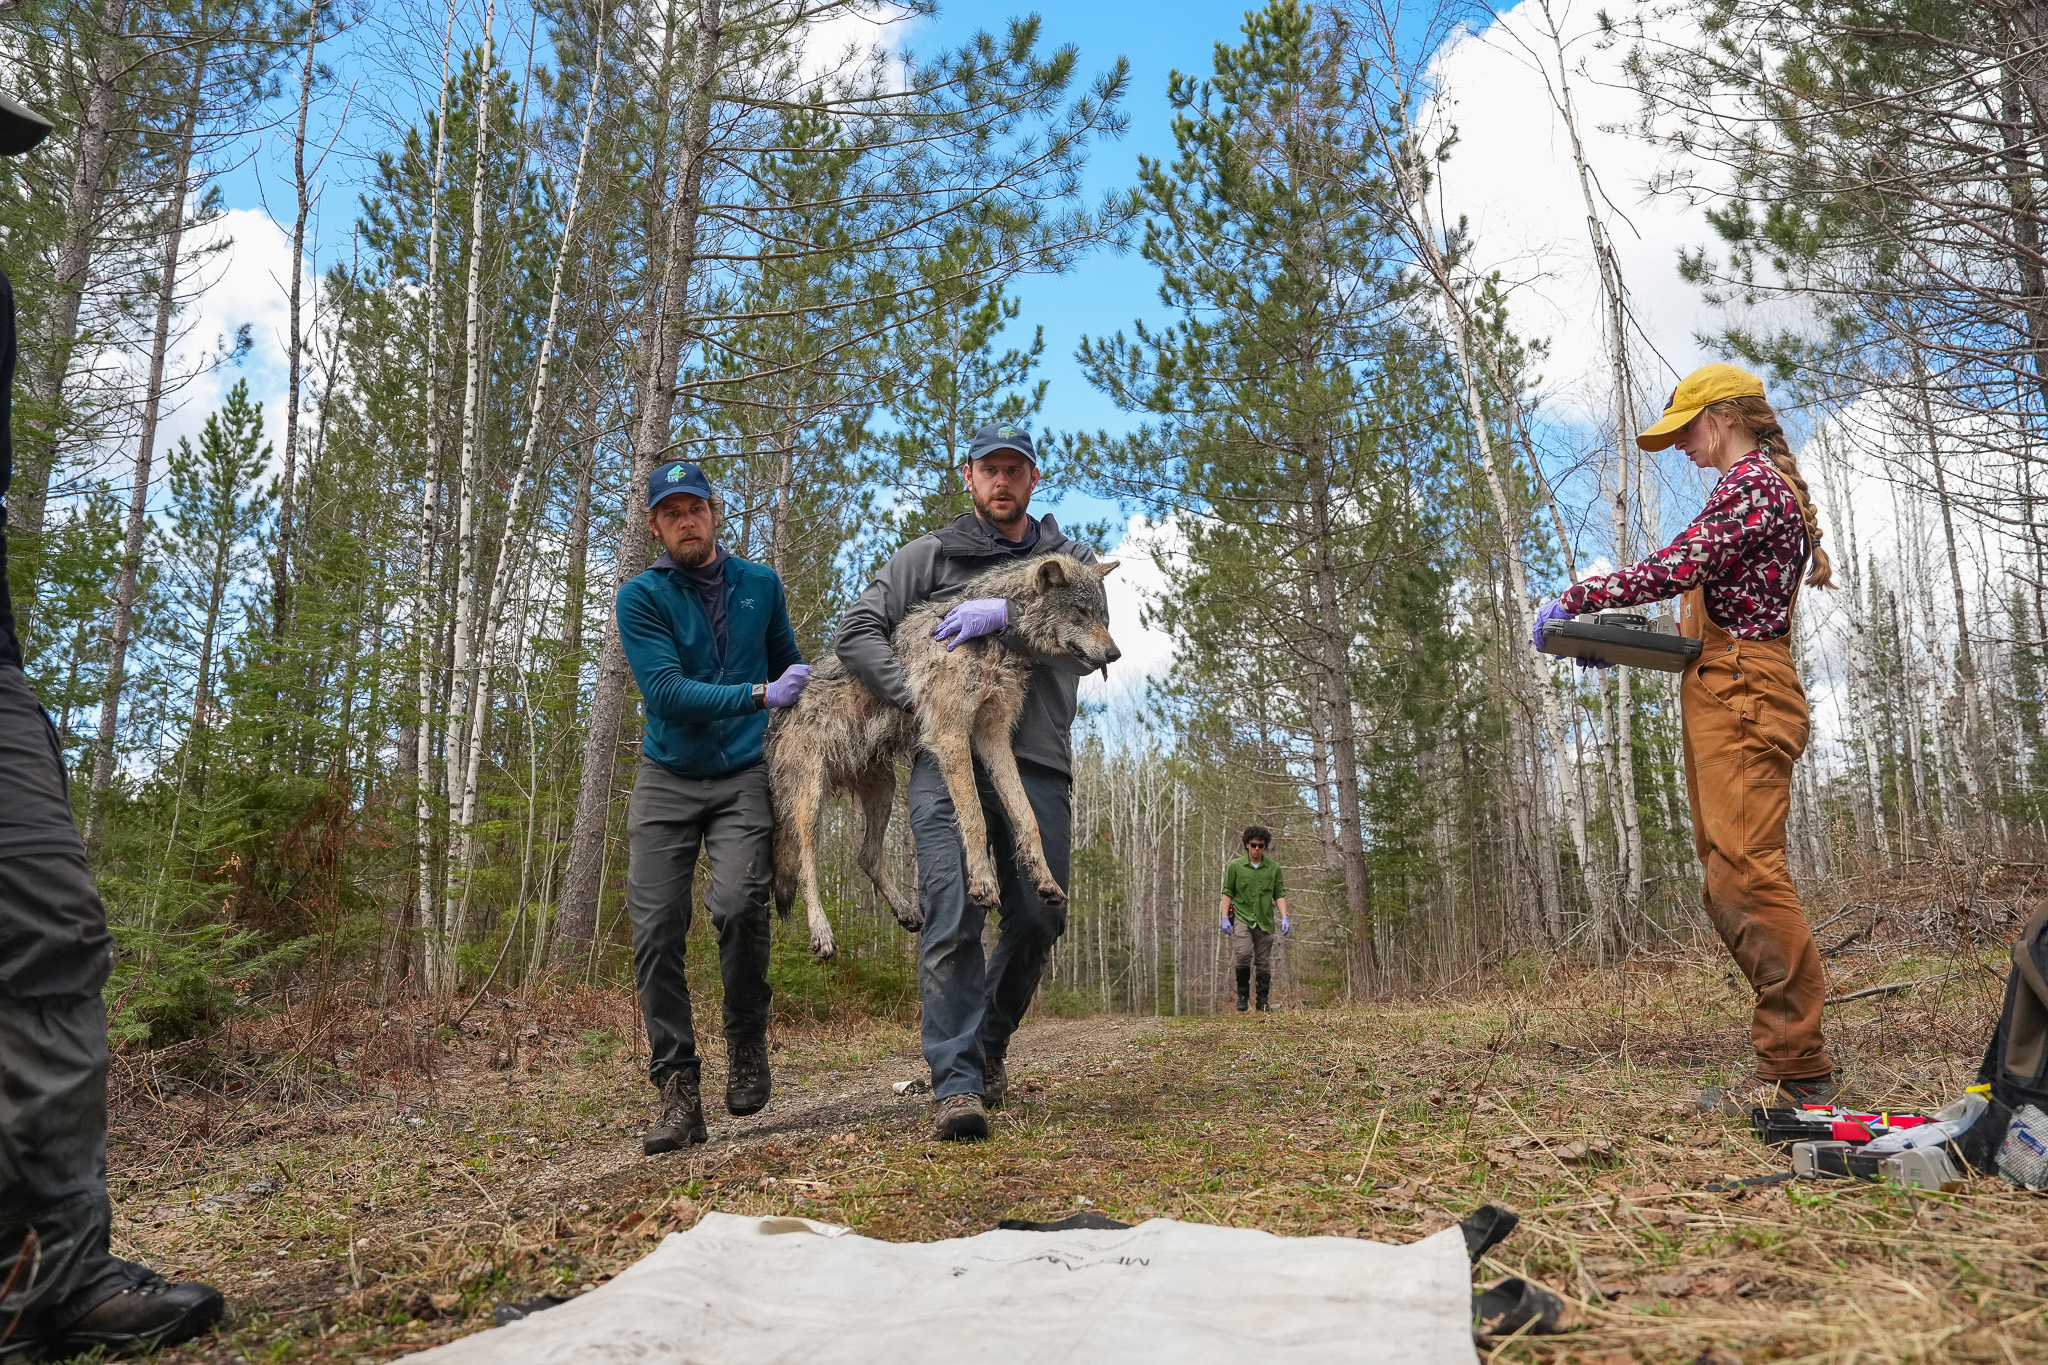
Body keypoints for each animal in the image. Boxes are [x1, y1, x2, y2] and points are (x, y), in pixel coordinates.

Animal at [765, 553, 1121, 960]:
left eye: (1103, 615)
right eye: (1080, 612)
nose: (1115, 654)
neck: (997, 642)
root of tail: (776, 717)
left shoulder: (993, 737)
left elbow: (1027, 817)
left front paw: (1044, 878)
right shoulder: (951, 734)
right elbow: (974, 818)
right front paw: (983, 882)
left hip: (884, 789)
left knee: (866, 856)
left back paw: (905, 910)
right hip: (810, 801)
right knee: (806, 863)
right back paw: (821, 932)